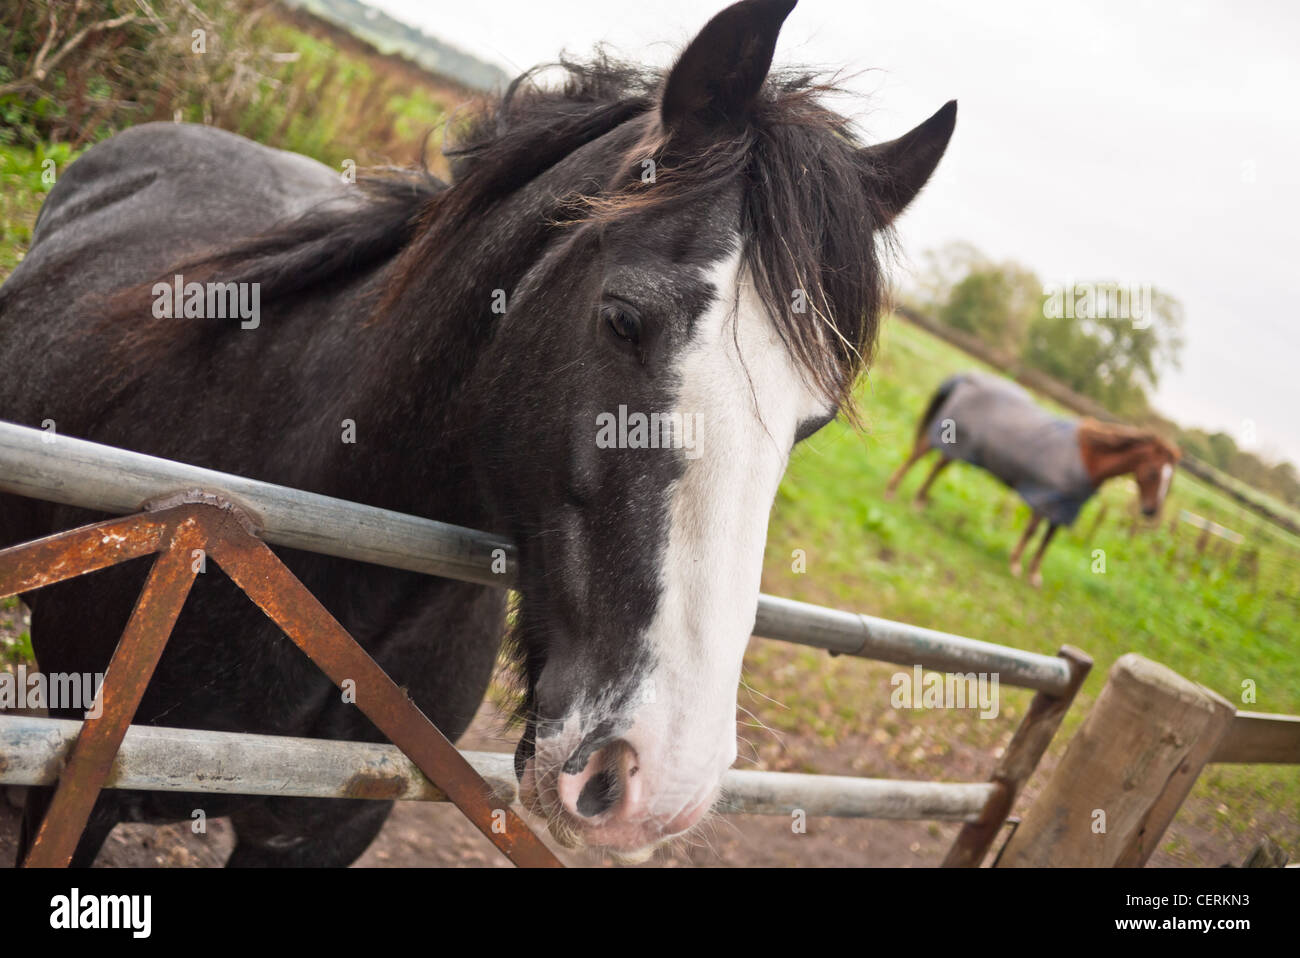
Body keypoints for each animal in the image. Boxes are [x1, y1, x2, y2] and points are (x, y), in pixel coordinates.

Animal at [886, 371, 1179, 587]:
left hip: (961, 448)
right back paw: (892, 491)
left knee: (937, 467)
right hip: (947, 438)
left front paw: (1034, 574)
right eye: (1153, 473)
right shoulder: (1045, 496)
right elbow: (1031, 531)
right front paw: (1015, 563)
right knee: (918, 453)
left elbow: (1047, 539)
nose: (1151, 511)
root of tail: (968, 377)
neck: (1087, 458)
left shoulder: (1064, 506)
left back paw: (920, 500)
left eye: (1170, 481)